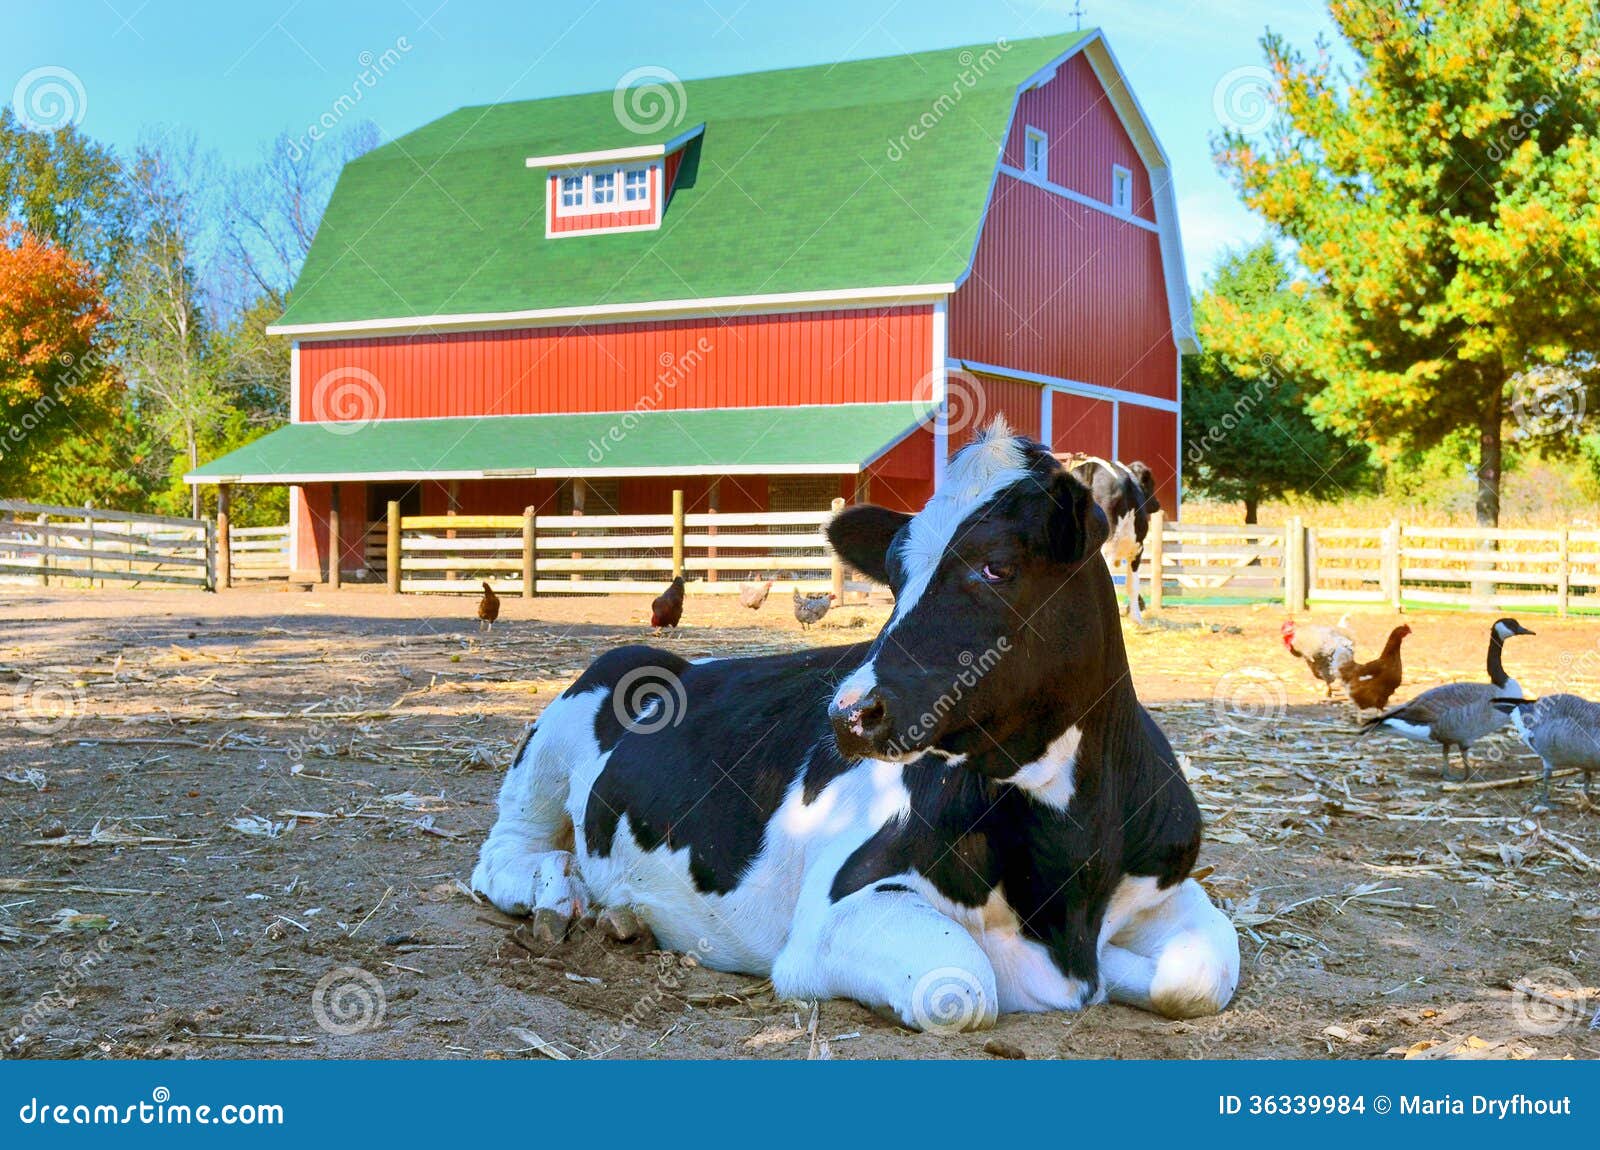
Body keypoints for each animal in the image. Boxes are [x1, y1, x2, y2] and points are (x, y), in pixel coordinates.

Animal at [472, 423, 1238, 1030]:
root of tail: (675, 660)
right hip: (563, 728)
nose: (848, 713)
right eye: (895, 578)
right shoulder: (840, 909)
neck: (1070, 853)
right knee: (504, 852)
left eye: (998, 567)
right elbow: (963, 984)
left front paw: (1118, 973)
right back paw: (558, 890)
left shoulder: (1169, 879)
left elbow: (1197, 975)